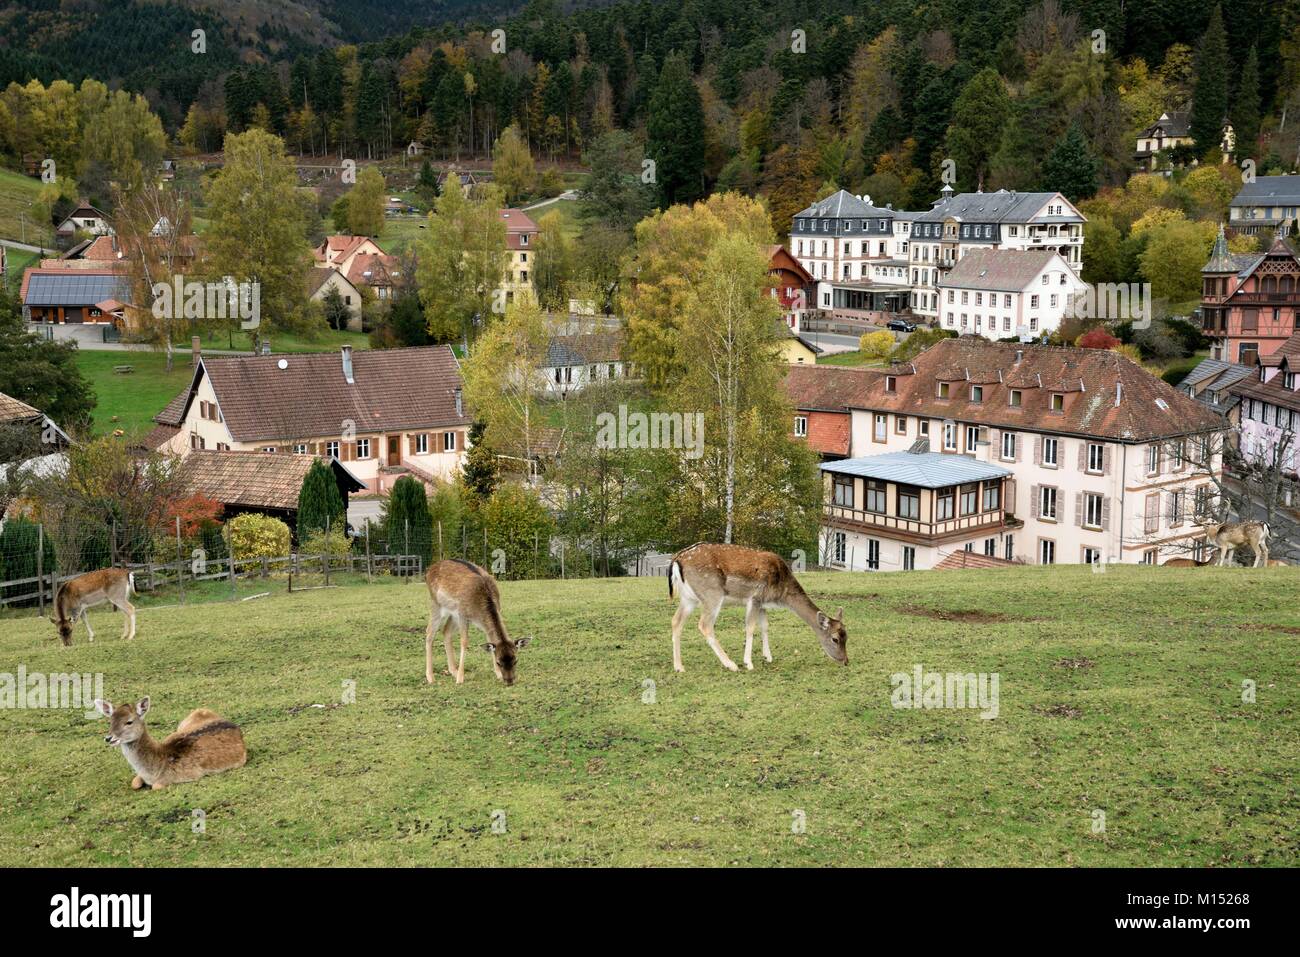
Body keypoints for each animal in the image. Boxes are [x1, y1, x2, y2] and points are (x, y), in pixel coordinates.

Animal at [93, 697, 247, 791]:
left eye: (129, 721)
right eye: (110, 721)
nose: (109, 738)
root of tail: (234, 725)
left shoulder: (191, 774)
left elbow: (156, 786)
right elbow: (134, 783)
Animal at [667, 543, 848, 673]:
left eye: (847, 636)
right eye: (835, 639)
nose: (846, 661)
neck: (781, 593)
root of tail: (677, 560)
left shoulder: (762, 604)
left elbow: (765, 626)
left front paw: (768, 657)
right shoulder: (755, 598)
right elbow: (750, 628)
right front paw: (748, 663)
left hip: (688, 598)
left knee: (676, 621)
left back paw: (679, 667)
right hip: (712, 594)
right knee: (704, 625)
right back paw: (731, 665)